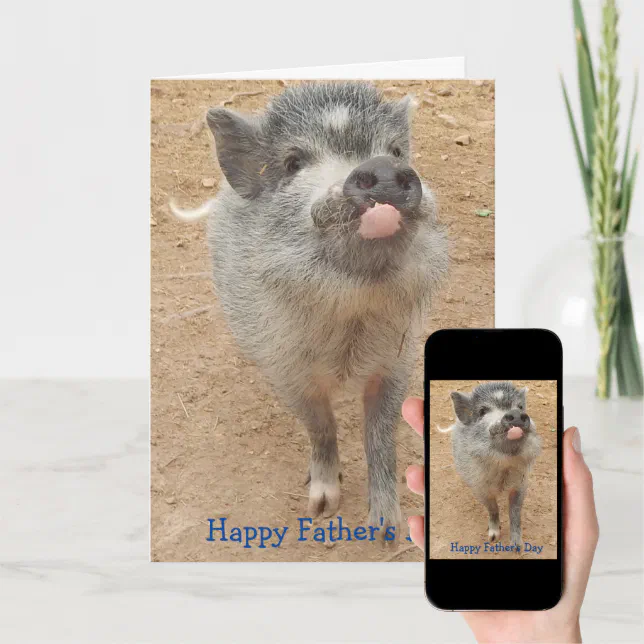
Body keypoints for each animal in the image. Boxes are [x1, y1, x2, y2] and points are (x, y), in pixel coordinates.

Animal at [170, 82, 448, 538]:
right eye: (293, 163)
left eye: (395, 150)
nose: (382, 168)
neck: (351, 308)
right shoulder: (285, 368)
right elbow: (319, 425)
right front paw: (321, 508)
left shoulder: (400, 357)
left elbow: (381, 432)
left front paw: (385, 531)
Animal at [449, 382, 541, 549]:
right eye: (482, 411)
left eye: (520, 407)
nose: (516, 414)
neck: (504, 462)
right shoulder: (480, 487)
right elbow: (492, 508)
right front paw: (493, 538)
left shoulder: (521, 483)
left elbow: (515, 511)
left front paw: (517, 547)